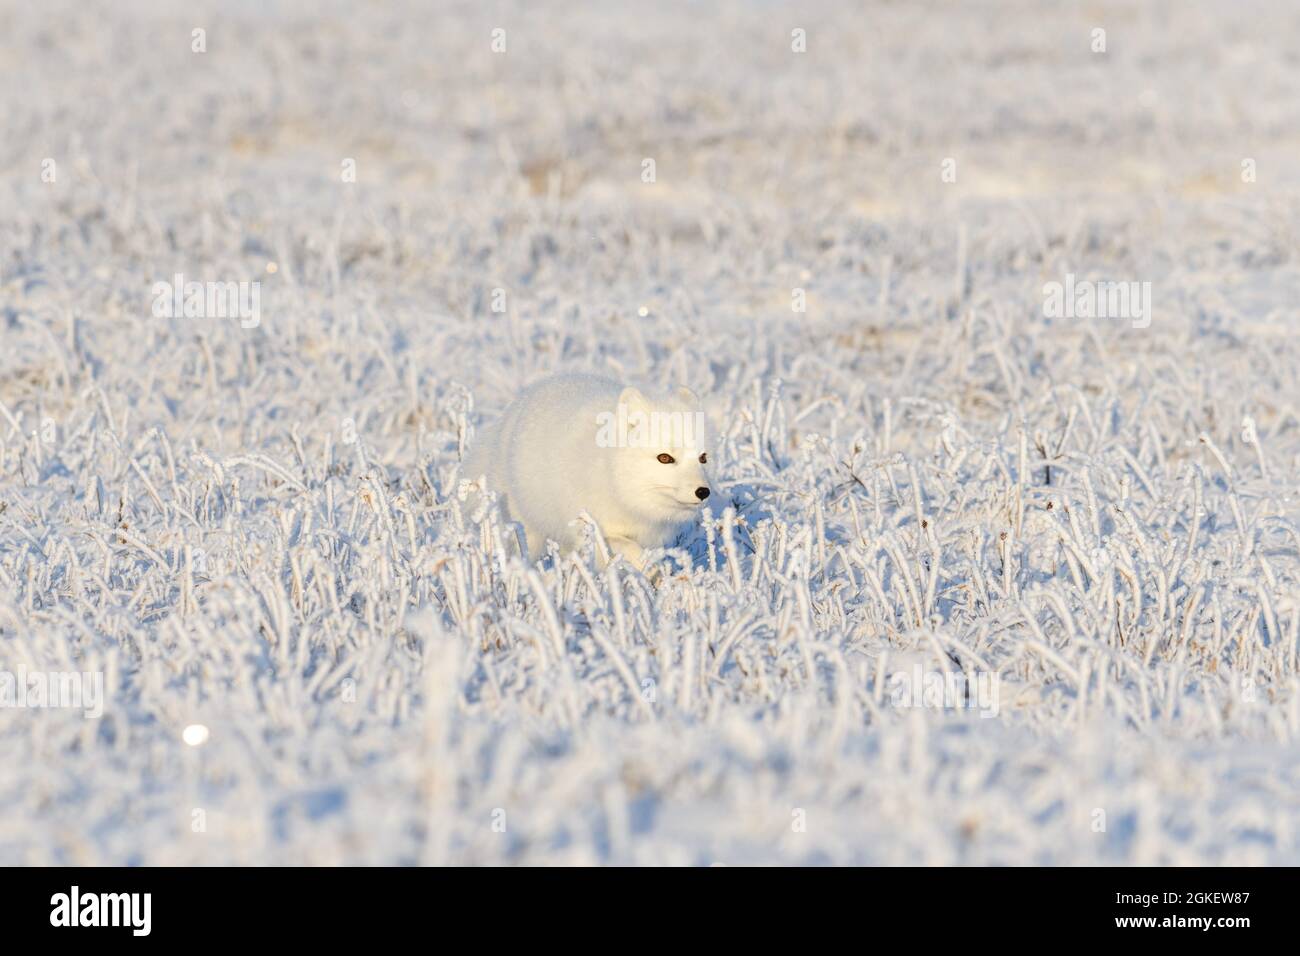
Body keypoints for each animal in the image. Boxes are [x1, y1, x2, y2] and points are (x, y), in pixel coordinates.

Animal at [461, 373, 713, 567]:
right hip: (526, 530)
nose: (703, 492)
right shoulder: (589, 529)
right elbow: (629, 549)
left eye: (703, 458)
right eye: (665, 458)